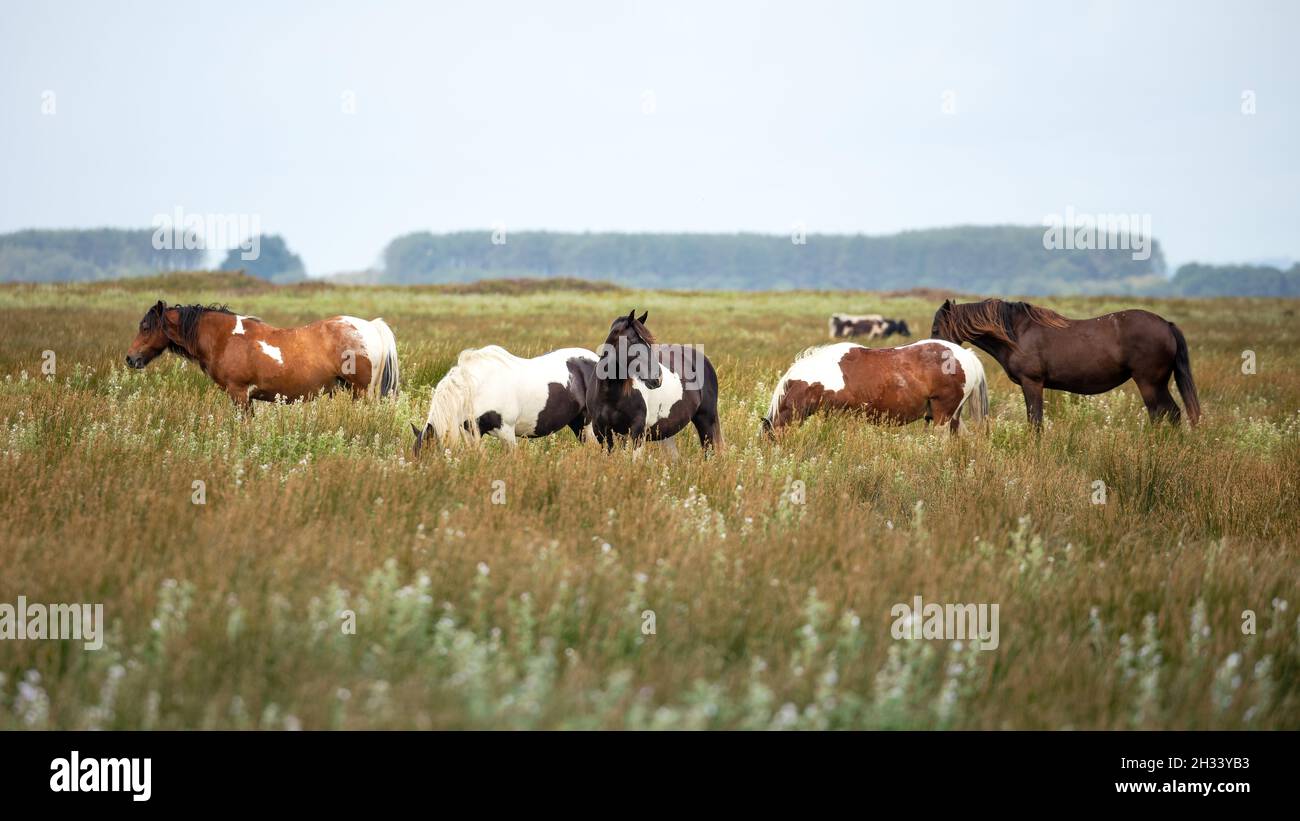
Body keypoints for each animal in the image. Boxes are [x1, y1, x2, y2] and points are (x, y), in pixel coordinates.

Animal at [125, 301, 399, 411]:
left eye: (146, 326)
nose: (130, 358)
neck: (224, 337)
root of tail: (370, 326)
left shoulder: (239, 394)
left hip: (360, 392)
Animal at [411, 345, 598, 456]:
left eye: (427, 454)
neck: (477, 386)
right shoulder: (471, 432)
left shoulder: (506, 431)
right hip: (576, 423)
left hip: (588, 425)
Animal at [586, 310, 722, 453]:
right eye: (633, 342)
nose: (658, 378)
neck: (610, 394)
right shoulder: (602, 433)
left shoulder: (637, 431)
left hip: (706, 421)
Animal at [930, 298, 1201, 428]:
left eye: (936, 328)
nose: (933, 352)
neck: (1018, 333)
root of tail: (1166, 324)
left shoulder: (1032, 384)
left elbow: (1035, 422)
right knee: (1174, 414)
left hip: (1149, 383)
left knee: (1162, 414)